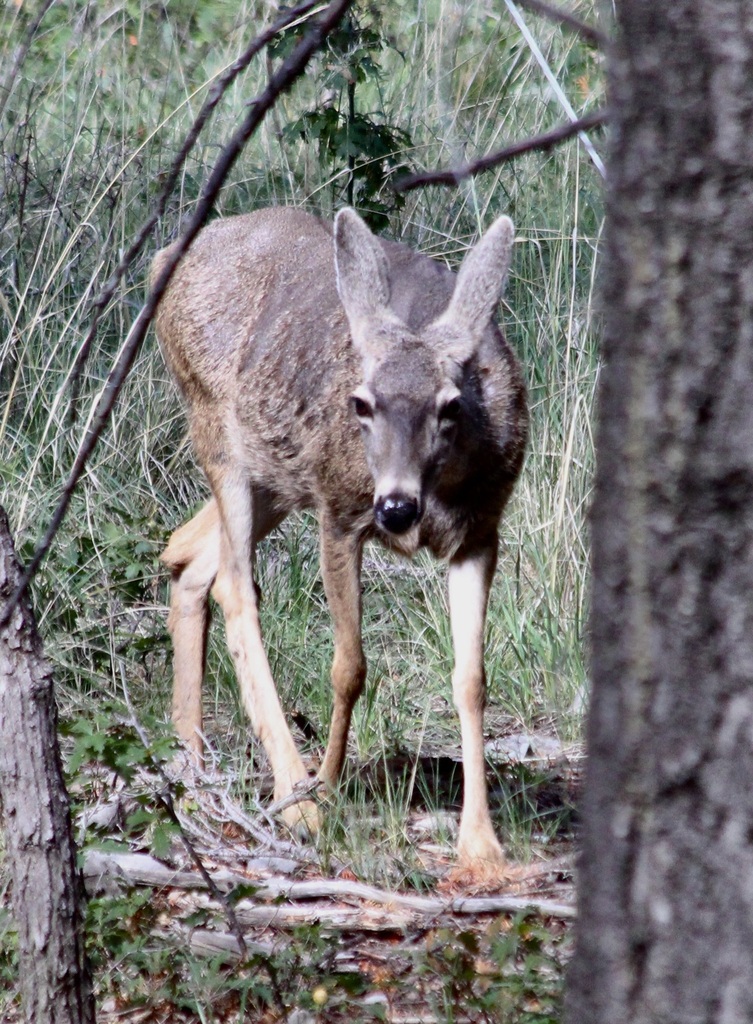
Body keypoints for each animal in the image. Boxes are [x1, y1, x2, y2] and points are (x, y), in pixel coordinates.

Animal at [152, 206, 528, 870]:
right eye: (361, 403)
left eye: (451, 406)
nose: (398, 509)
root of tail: (166, 256)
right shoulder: (339, 511)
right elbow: (349, 667)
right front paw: (325, 788)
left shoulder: (482, 533)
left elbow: (471, 680)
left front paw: (480, 842)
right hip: (217, 433)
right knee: (234, 587)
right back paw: (292, 796)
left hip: (275, 476)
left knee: (187, 552)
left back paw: (192, 767)